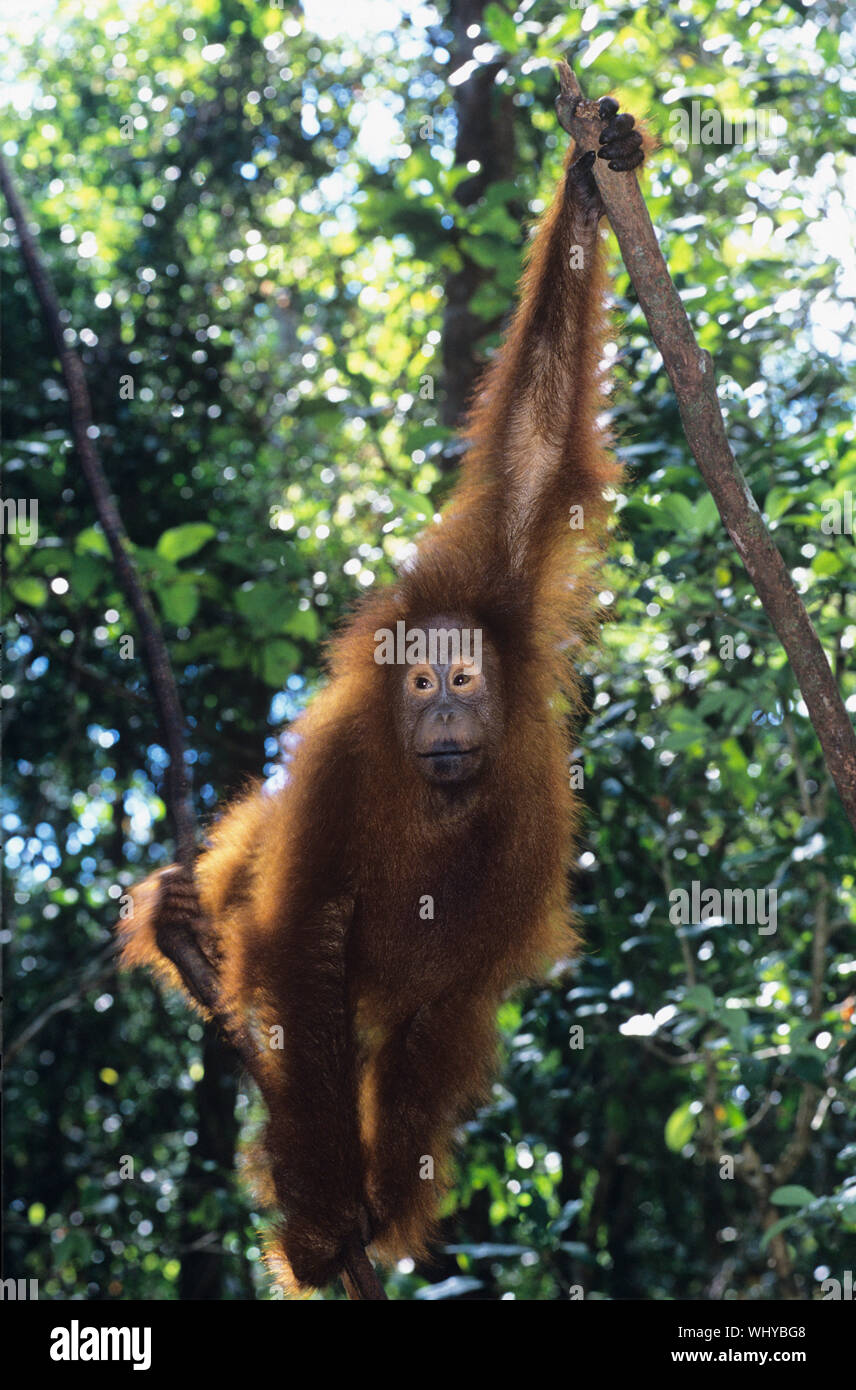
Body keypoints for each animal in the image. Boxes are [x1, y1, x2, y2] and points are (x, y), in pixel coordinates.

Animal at [118, 92, 645, 1295]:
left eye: (462, 676)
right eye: (419, 683)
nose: (444, 711)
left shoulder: (500, 590)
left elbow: (535, 440)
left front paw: (589, 177)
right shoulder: (344, 762)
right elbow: (299, 941)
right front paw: (322, 1221)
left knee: (425, 1040)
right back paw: (187, 940)